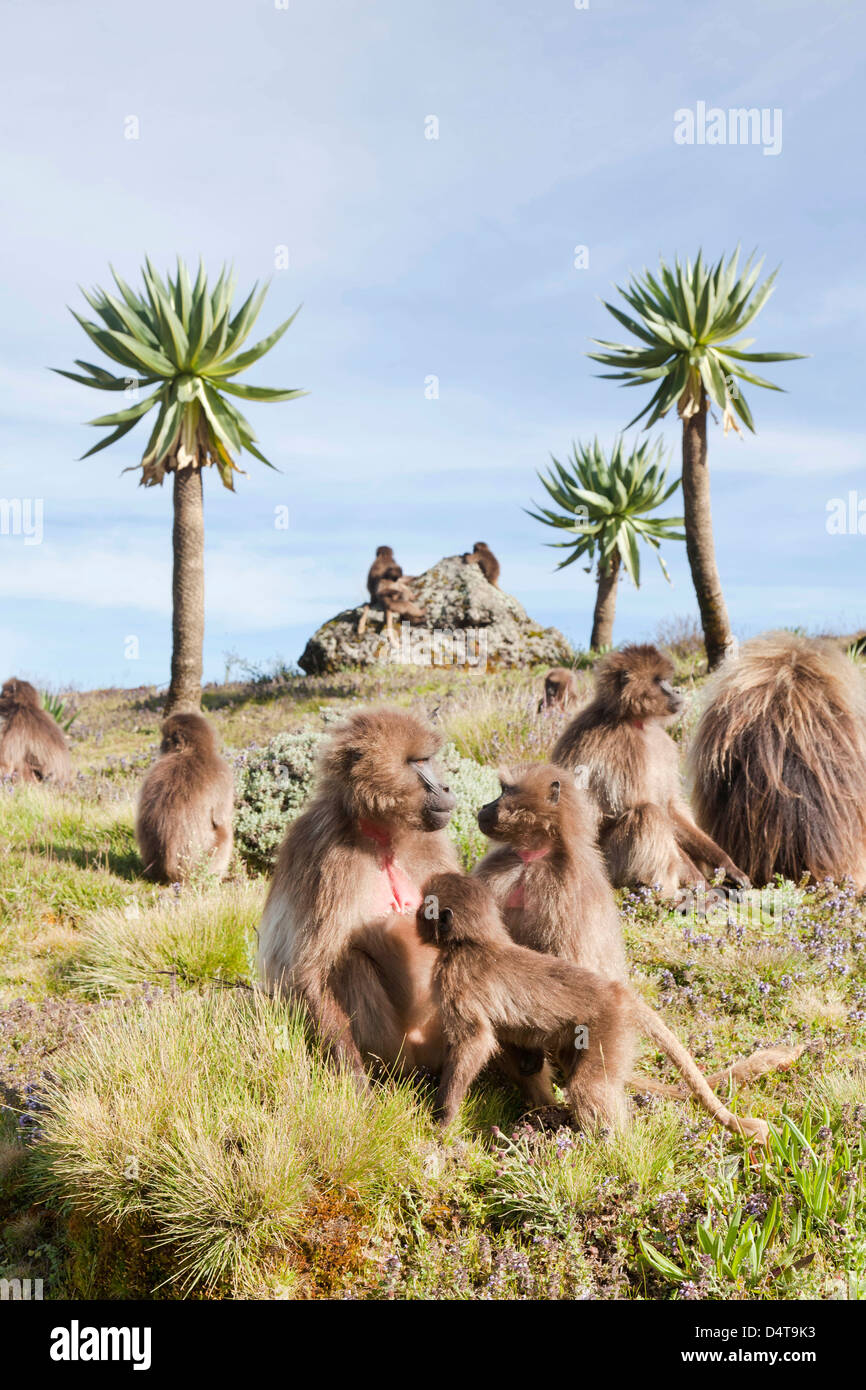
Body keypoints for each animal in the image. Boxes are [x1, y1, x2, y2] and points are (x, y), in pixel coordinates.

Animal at [135, 712, 234, 883]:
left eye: (165, 737)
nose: (160, 745)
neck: (190, 751)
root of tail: (169, 873)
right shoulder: (223, 773)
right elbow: (220, 819)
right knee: (225, 833)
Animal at [417, 873, 769, 1144]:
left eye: (425, 907)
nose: (416, 914)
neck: (476, 941)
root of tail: (621, 993)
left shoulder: (453, 976)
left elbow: (475, 1042)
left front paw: (443, 1120)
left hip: (609, 1026)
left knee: (589, 1087)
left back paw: (610, 1150)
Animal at [552, 644, 750, 898]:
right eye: (658, 681)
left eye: (665, 679)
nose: (676, 690)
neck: (635, 720)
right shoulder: (620, 747)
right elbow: (644, 806)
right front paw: (704, 888)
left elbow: (670, 807)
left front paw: (728, 866)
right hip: (609, 864)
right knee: (647, 813)